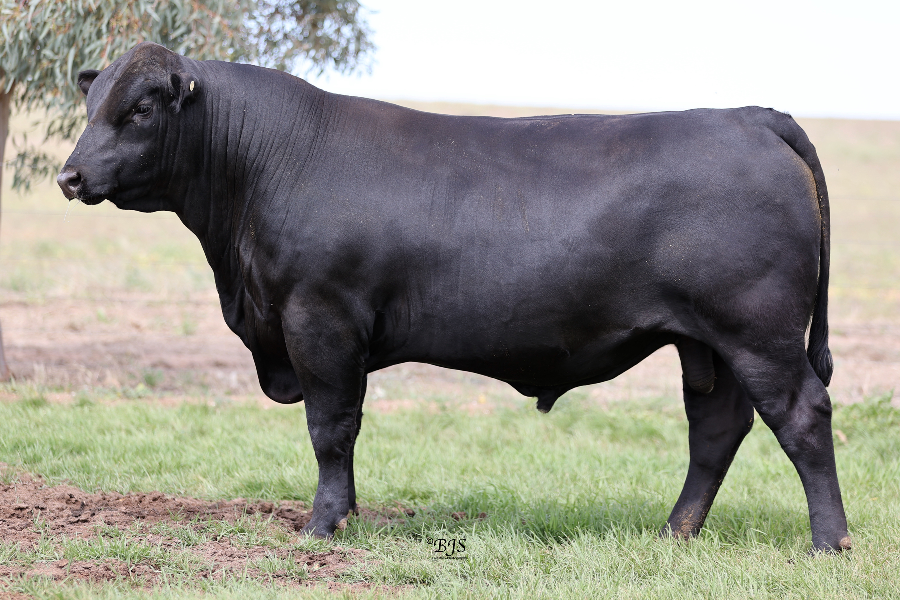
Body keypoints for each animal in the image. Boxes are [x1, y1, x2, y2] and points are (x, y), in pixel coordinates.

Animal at [58, 42, 850, 552]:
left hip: (758, 332)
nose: (70, 175)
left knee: (802, 417)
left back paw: (829, 543)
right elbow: (342, 432)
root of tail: (748, 114)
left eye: (142, 108)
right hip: (705, 343)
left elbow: (330, 429)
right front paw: (344, 517)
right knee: (715, 428)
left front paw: (323, 526)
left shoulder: (320, 319)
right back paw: (674, 535)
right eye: (91, 103)